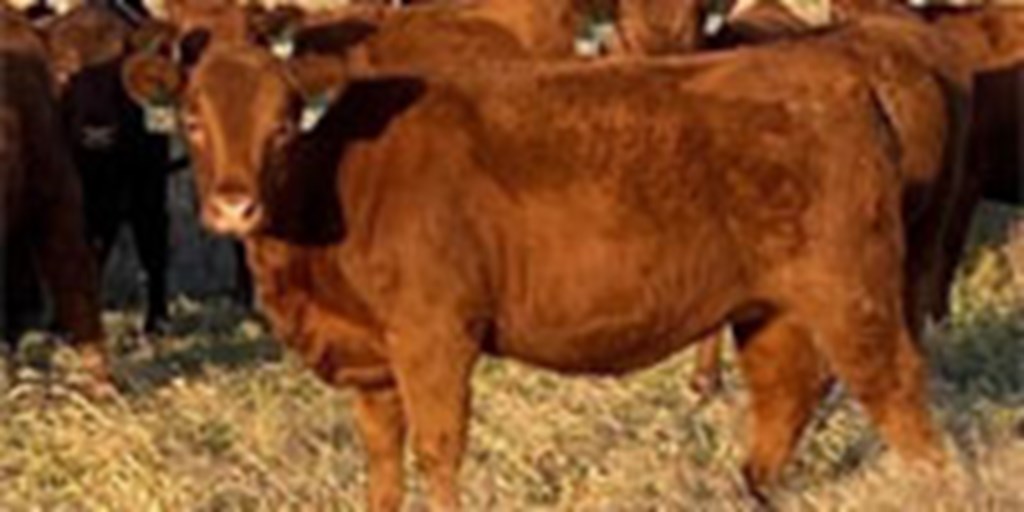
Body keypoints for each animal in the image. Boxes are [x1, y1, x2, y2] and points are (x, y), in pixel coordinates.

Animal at [124, 11, 968, 509]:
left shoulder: (434, 335)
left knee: (900, 397)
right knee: (786, 390)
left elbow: (438, 452)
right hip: (771, 304)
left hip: (850, 292)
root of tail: (842, 69)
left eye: (286, 121)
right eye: (192, 117)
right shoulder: (371, 362)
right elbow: (382, 464)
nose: (235, 205)